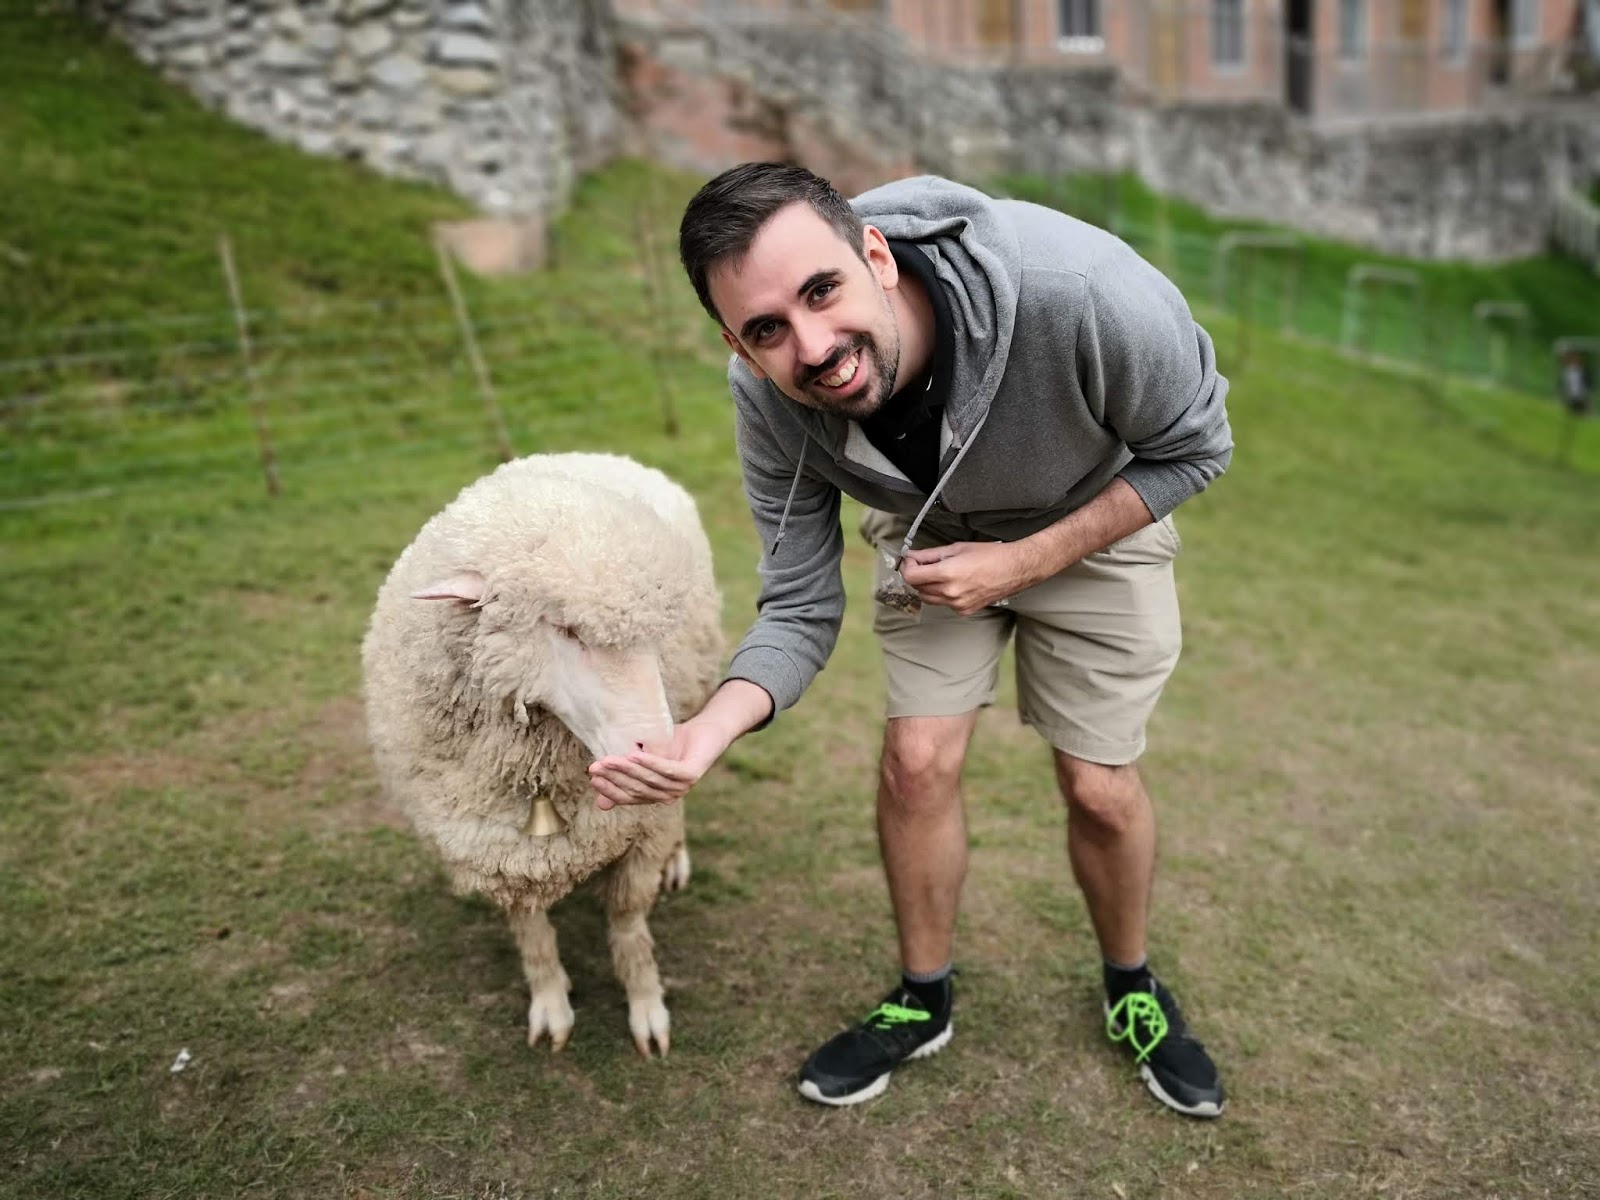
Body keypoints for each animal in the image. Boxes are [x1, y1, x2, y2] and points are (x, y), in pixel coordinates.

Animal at [361, 452, 724, 1057]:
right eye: (565, 629)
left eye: (656, 638)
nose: (660, 752)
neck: (536, 771)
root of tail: (596, 454)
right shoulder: (493, 847)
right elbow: (532, 934)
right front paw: (551, 1004)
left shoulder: (642, 826)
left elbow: (628, 918)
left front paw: (646, 1006)